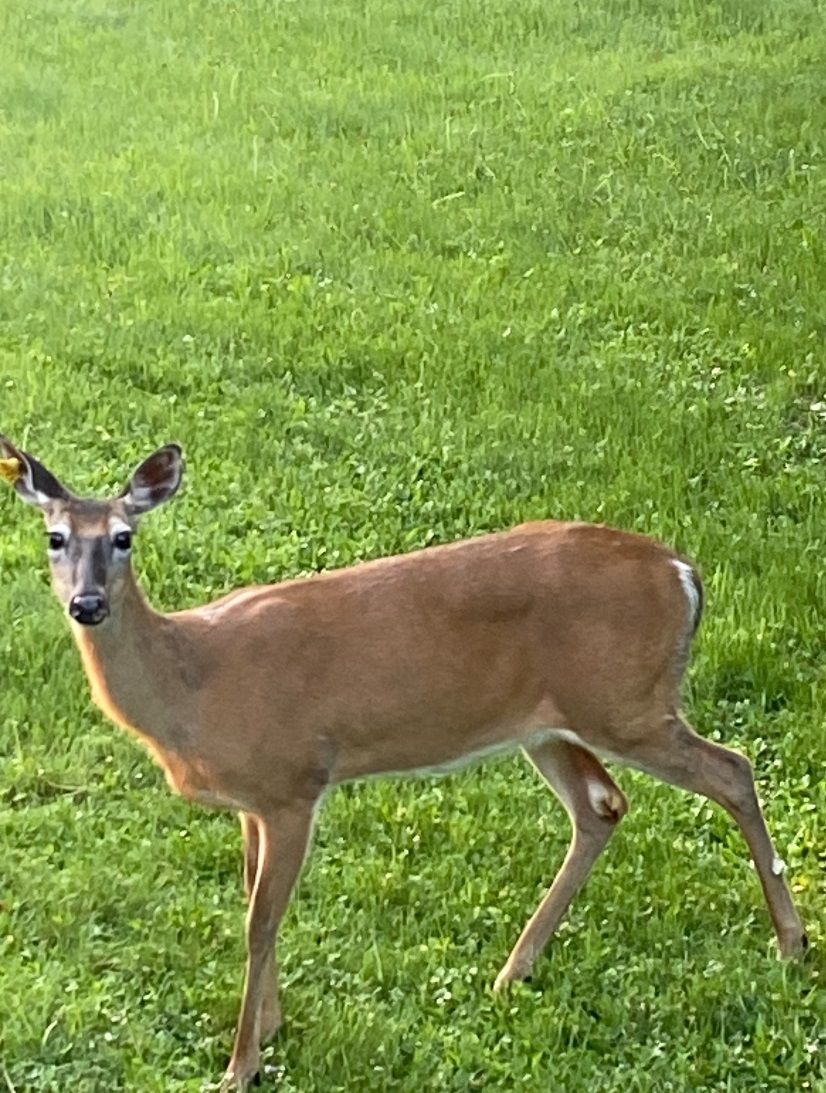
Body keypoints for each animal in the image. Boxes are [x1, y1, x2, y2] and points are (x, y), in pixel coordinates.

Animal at [0, 437, 807, 1090]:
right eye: (55, 537)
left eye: (125, 537)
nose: (88, 604)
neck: (193, 683)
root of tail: (683, 570)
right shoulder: (252, 801)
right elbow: (254, 909)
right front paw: (270, 1028)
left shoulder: (294, 780)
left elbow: (261, 920)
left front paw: (240, 1064)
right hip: (552, 721)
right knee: (603, 804)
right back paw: (514, 970)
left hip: (625, 700)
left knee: (732, 769)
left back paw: (791, 944)